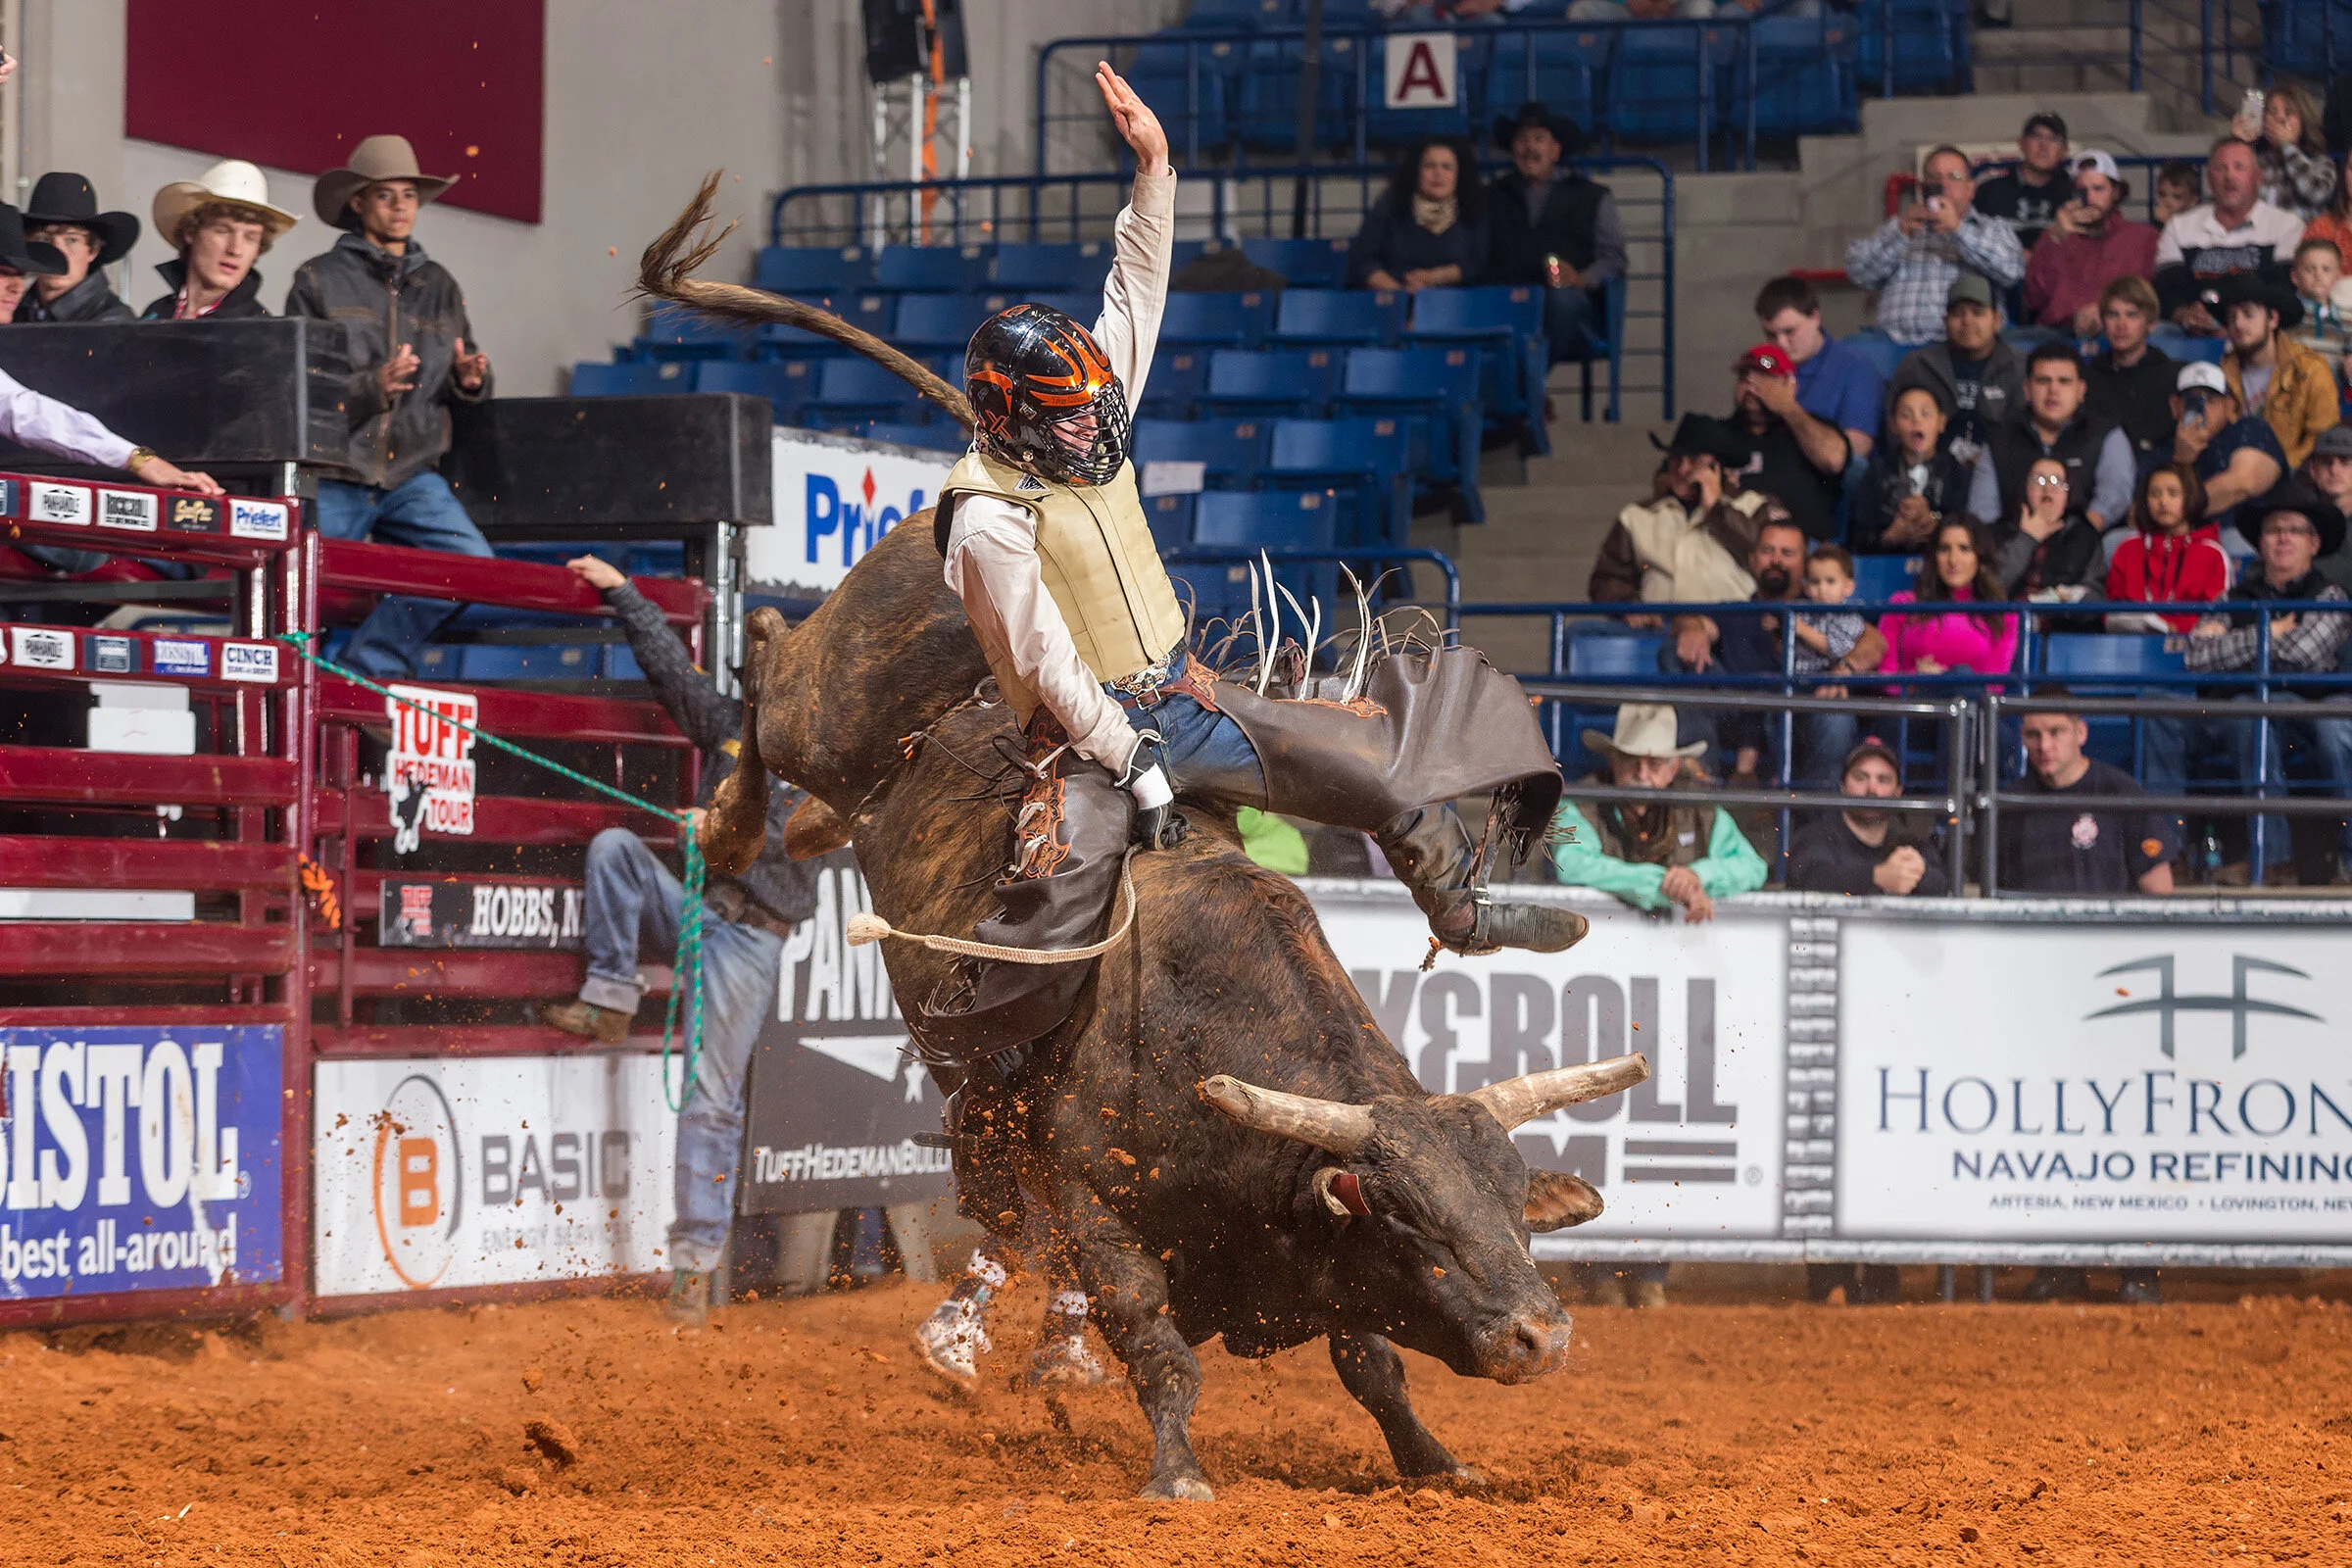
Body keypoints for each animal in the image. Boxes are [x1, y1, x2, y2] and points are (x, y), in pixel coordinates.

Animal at [642, 179, 1649, 1500]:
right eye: (1415, 1219)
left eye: (1518, 1204)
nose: (1542, 1334)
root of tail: (940, 507)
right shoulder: (1095, 1204)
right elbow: (1155, 1340)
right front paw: (1176, 1472)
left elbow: (1372, 1364)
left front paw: (1437, 1461)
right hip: (834, 701)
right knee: (764, 662)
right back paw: (728, 818)